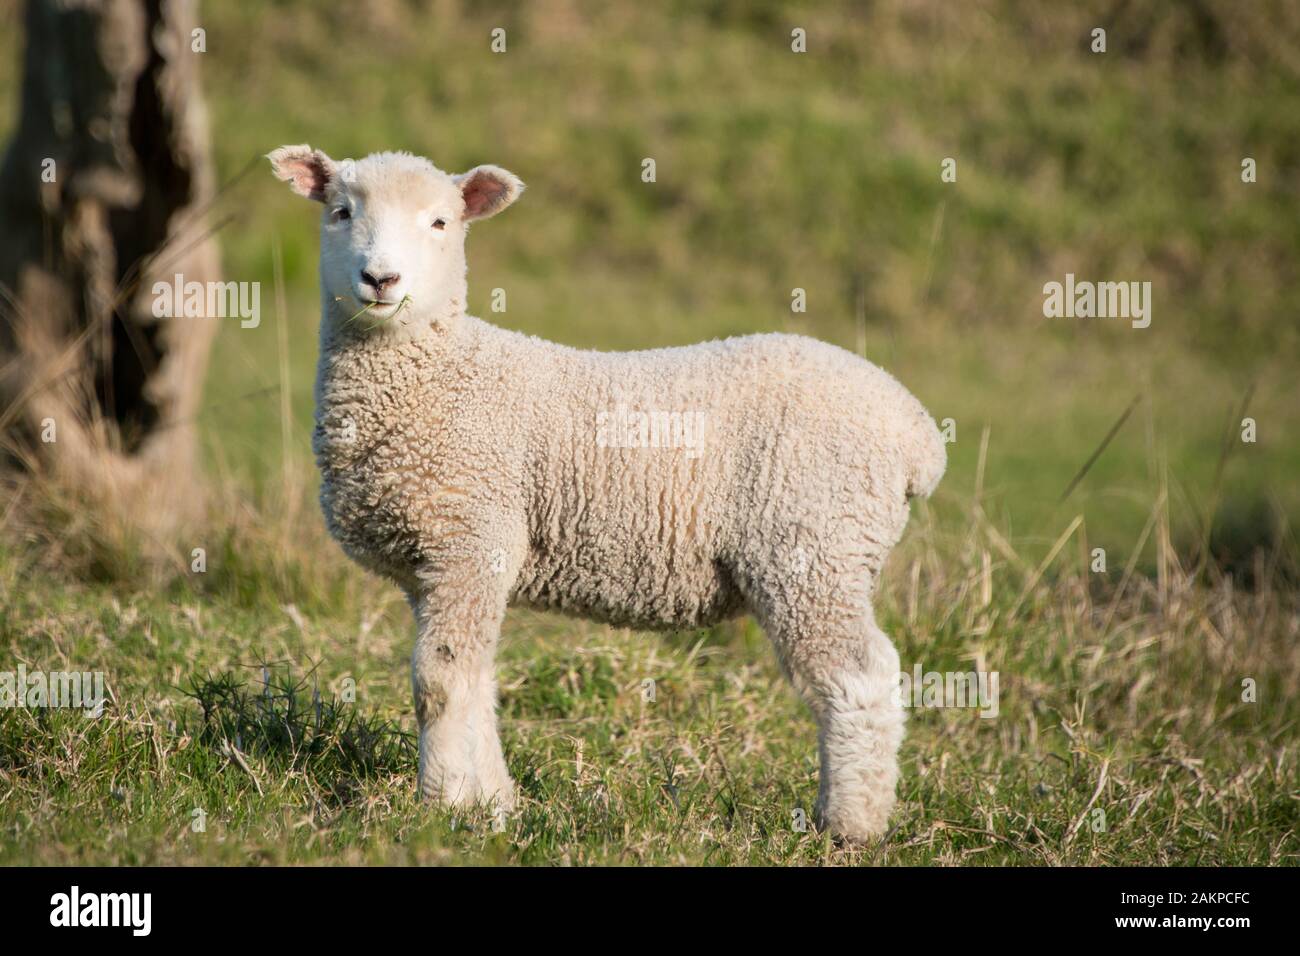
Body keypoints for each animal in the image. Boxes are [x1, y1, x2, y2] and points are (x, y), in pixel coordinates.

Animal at [267, 145, 946, 843]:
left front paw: (445, 808)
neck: (442, 374)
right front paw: (495, 804)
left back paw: (850, 825)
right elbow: (476, 681)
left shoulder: (470, 540)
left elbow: (441, 681)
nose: (381, 279)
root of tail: (915, 431)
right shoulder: (440, 565)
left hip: (811, 545)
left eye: (439, 223)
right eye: (340, 212)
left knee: (860, 678)